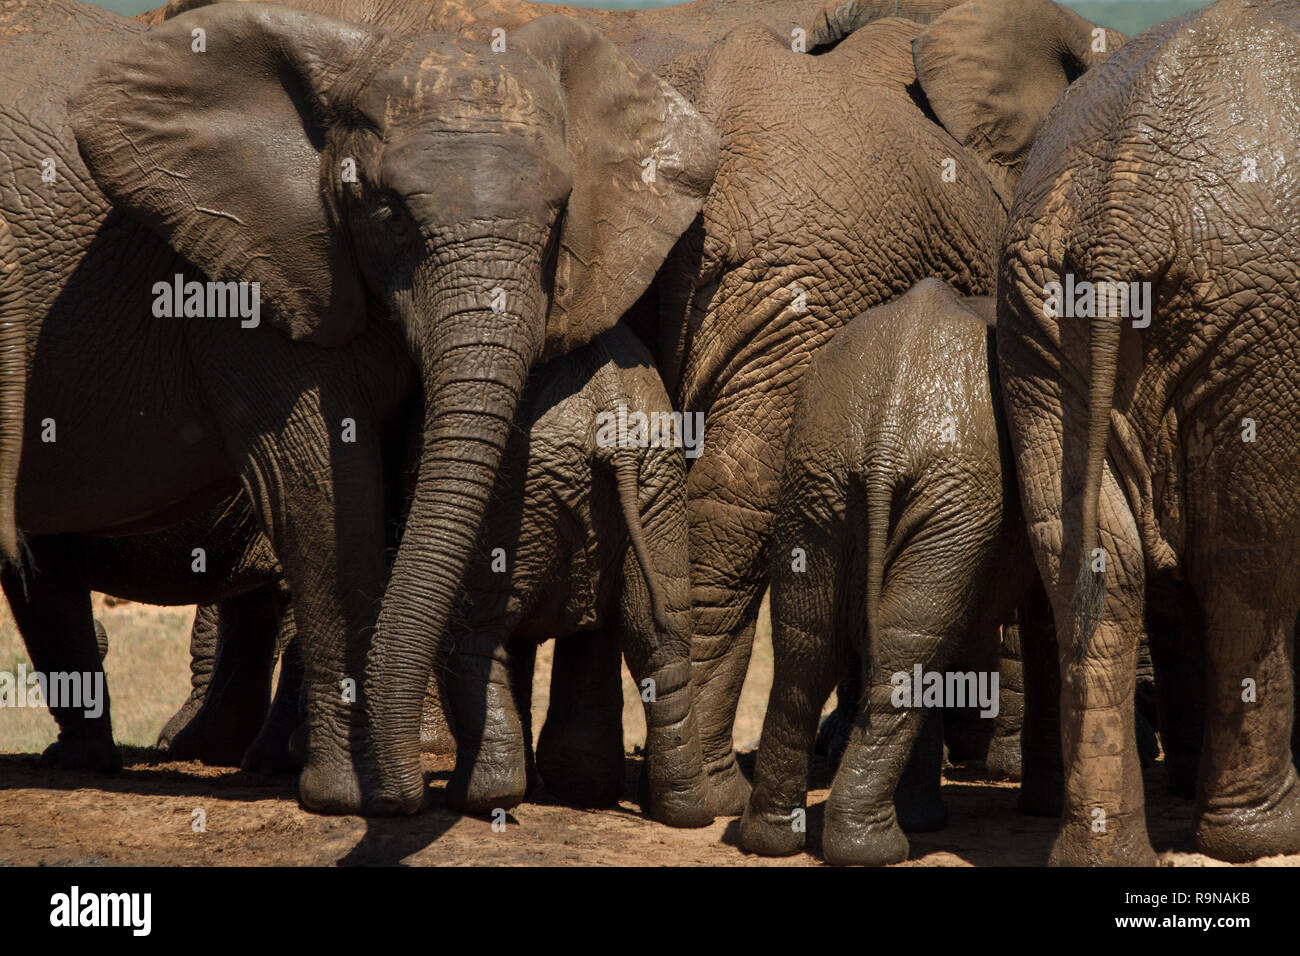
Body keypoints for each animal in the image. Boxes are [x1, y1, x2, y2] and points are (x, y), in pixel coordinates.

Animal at [1, 0, 716, 814]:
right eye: (389, 215)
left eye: (561, 215)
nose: (411, 794)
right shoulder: (244, 265)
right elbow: (314, 485)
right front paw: (362, 795)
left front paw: (360, 791)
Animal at [997, 0, 1300, 864]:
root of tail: (1122, 207)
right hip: (1260, 317)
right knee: (1247, 560)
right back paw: (1259, 833)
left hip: (1037, 309)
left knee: (1092, 553)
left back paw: (1100, 850)